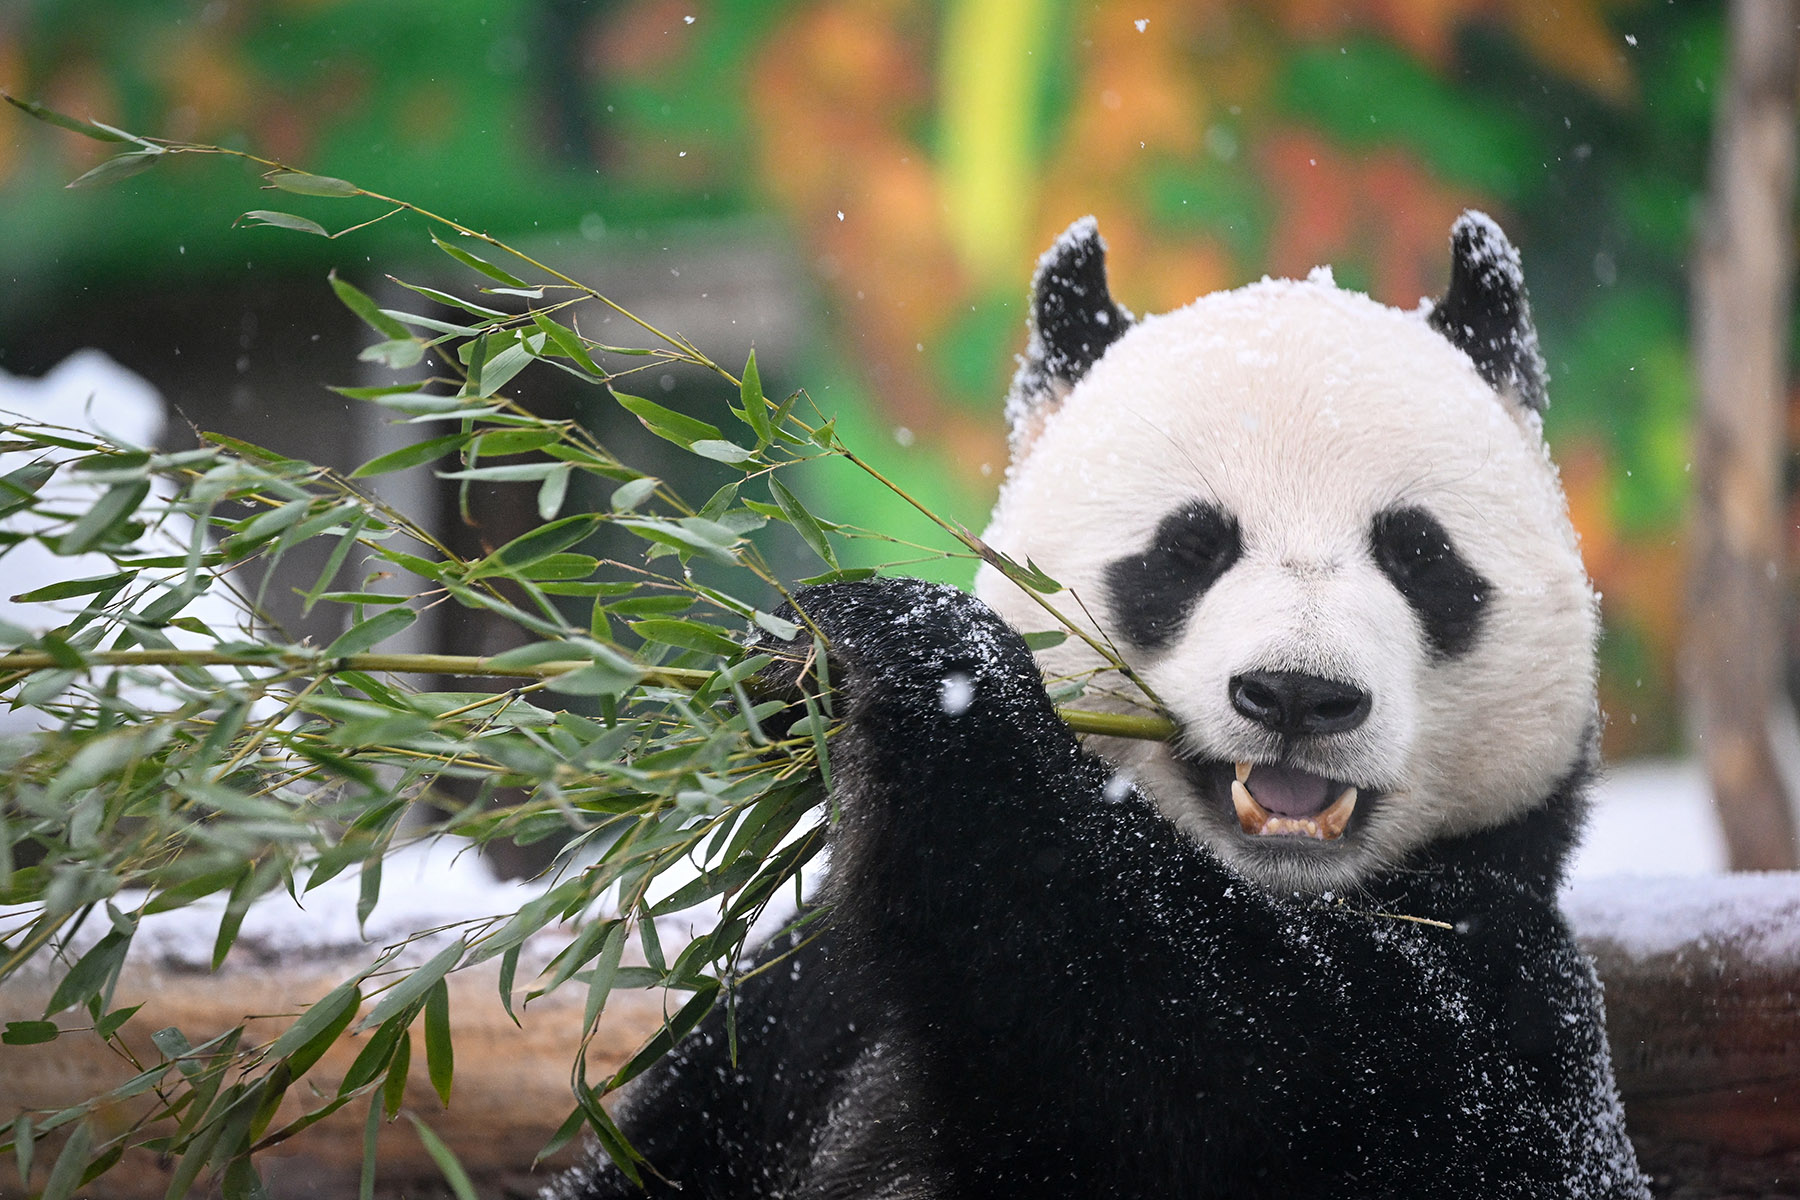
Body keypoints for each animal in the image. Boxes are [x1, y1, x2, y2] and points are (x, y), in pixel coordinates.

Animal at [550, 214, 1649, 1199]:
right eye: (1190, 548)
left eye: (1419, 555)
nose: (1299, 693)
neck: (1289, 892)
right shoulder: (802, 1018)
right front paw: (802, 662)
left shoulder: (1501, 978)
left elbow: (1247, 1053)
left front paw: (917, 661)